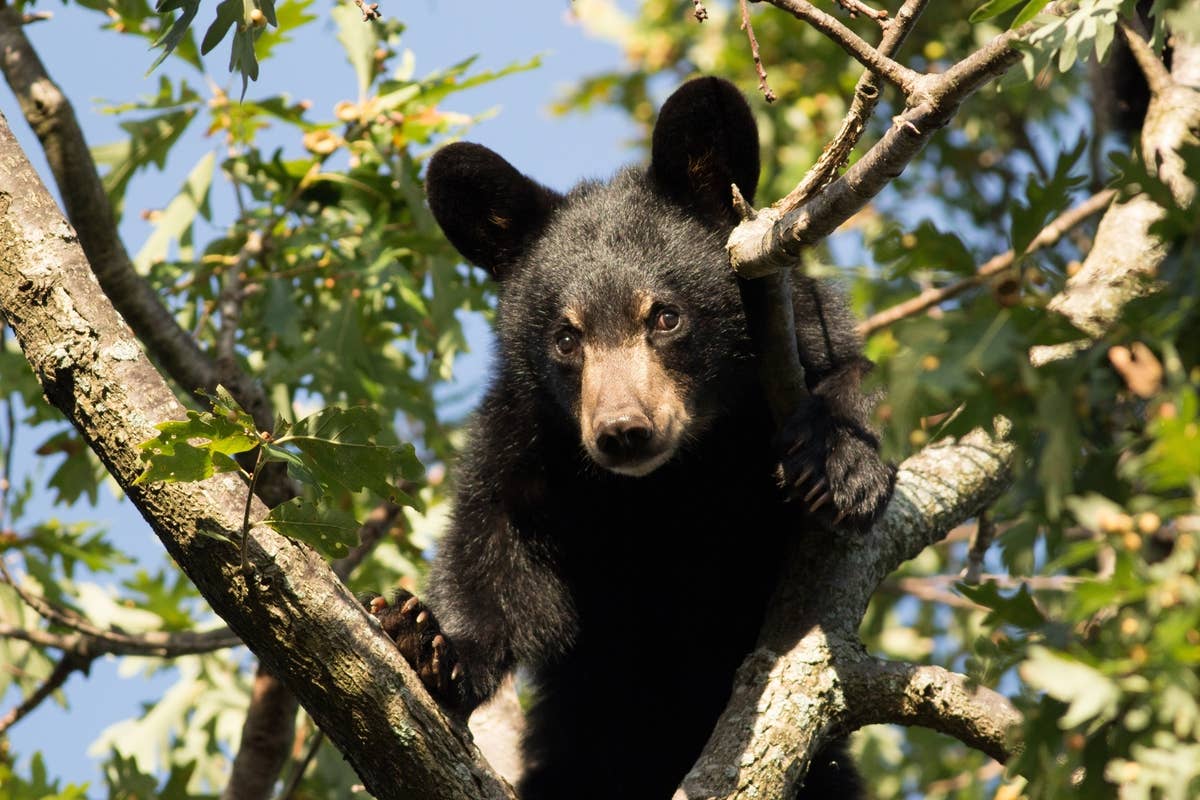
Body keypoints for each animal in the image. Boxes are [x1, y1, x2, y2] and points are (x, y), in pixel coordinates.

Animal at [366, 77, 895, 799]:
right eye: (567, 337)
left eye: (665, 316)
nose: (622, 432)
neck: (665, 484)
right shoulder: (527, 441)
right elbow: (493, 554)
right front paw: (430, 642)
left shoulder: (800, 341)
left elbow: (847, 372)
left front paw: (842, 464)